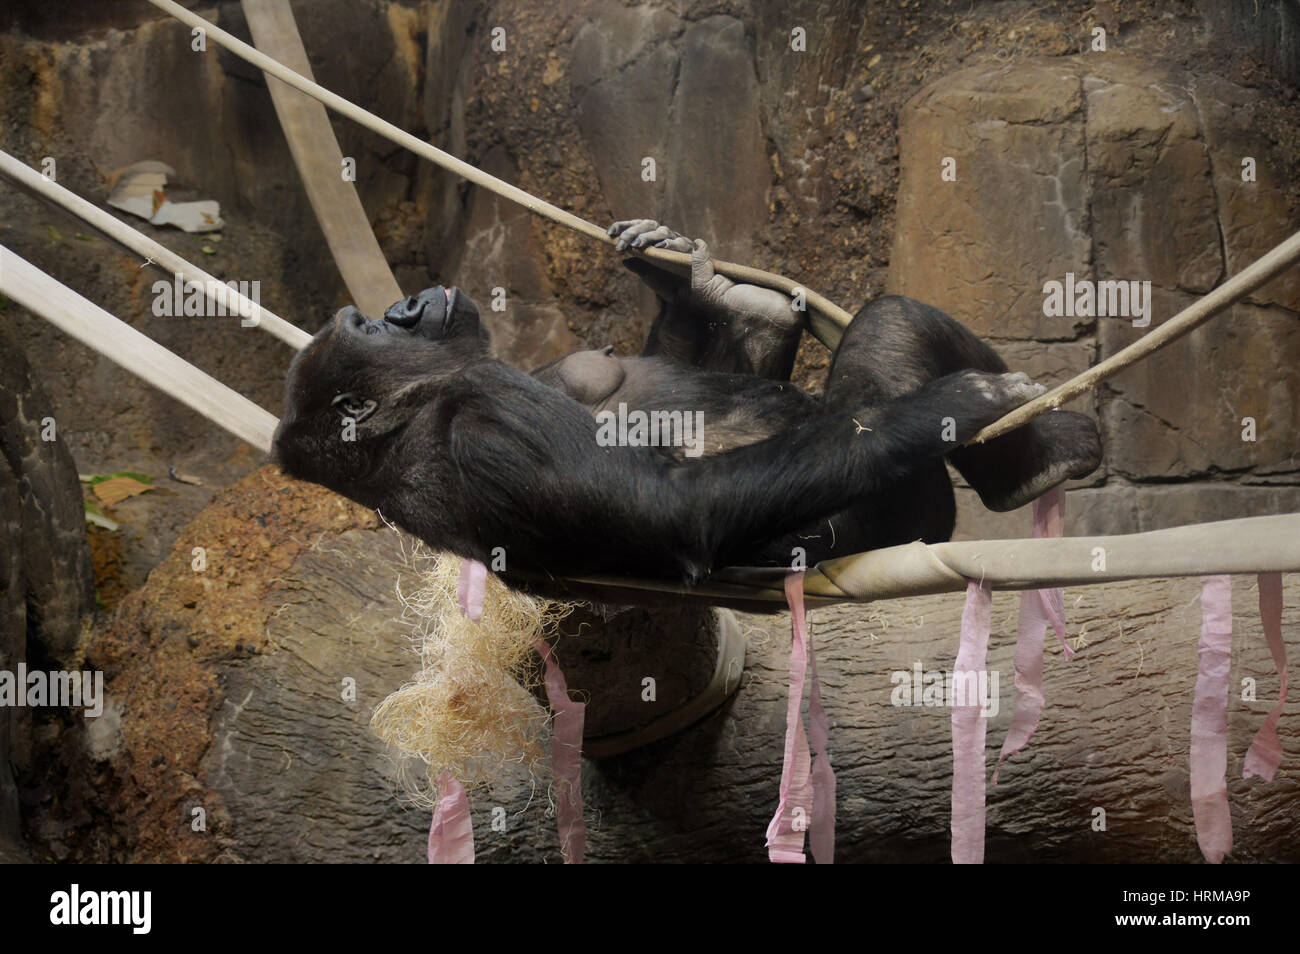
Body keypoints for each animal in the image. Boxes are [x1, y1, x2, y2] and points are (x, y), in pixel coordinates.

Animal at [273, 219, 1100, 608]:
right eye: (371, 326)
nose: (406, 304)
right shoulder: (490, 418)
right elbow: (677, 511)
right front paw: (953, 404)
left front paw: (685, 279)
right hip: (902, 513)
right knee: (889, 328)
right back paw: (1036, 462)